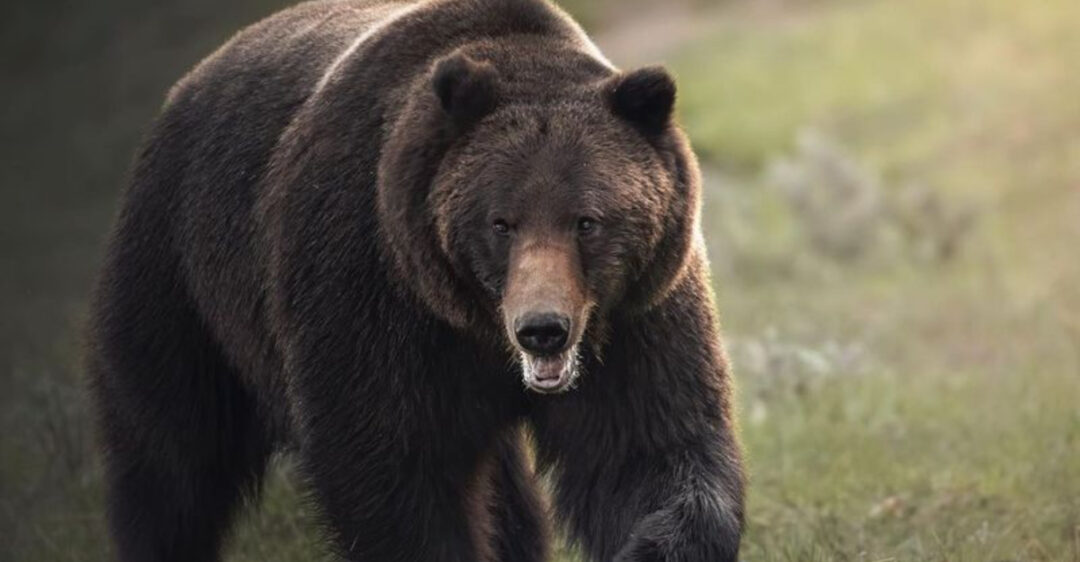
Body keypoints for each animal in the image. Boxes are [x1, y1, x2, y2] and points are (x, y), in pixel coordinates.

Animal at [86, 0, 745, 561]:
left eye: (587, 220)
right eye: (500, 222)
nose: (543, 330)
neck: (474, 324)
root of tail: (191, 81)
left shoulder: (636, 317)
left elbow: (649, 450)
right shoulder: (371, 293)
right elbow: (393, 475)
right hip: (181, 277)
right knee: (172, 456)